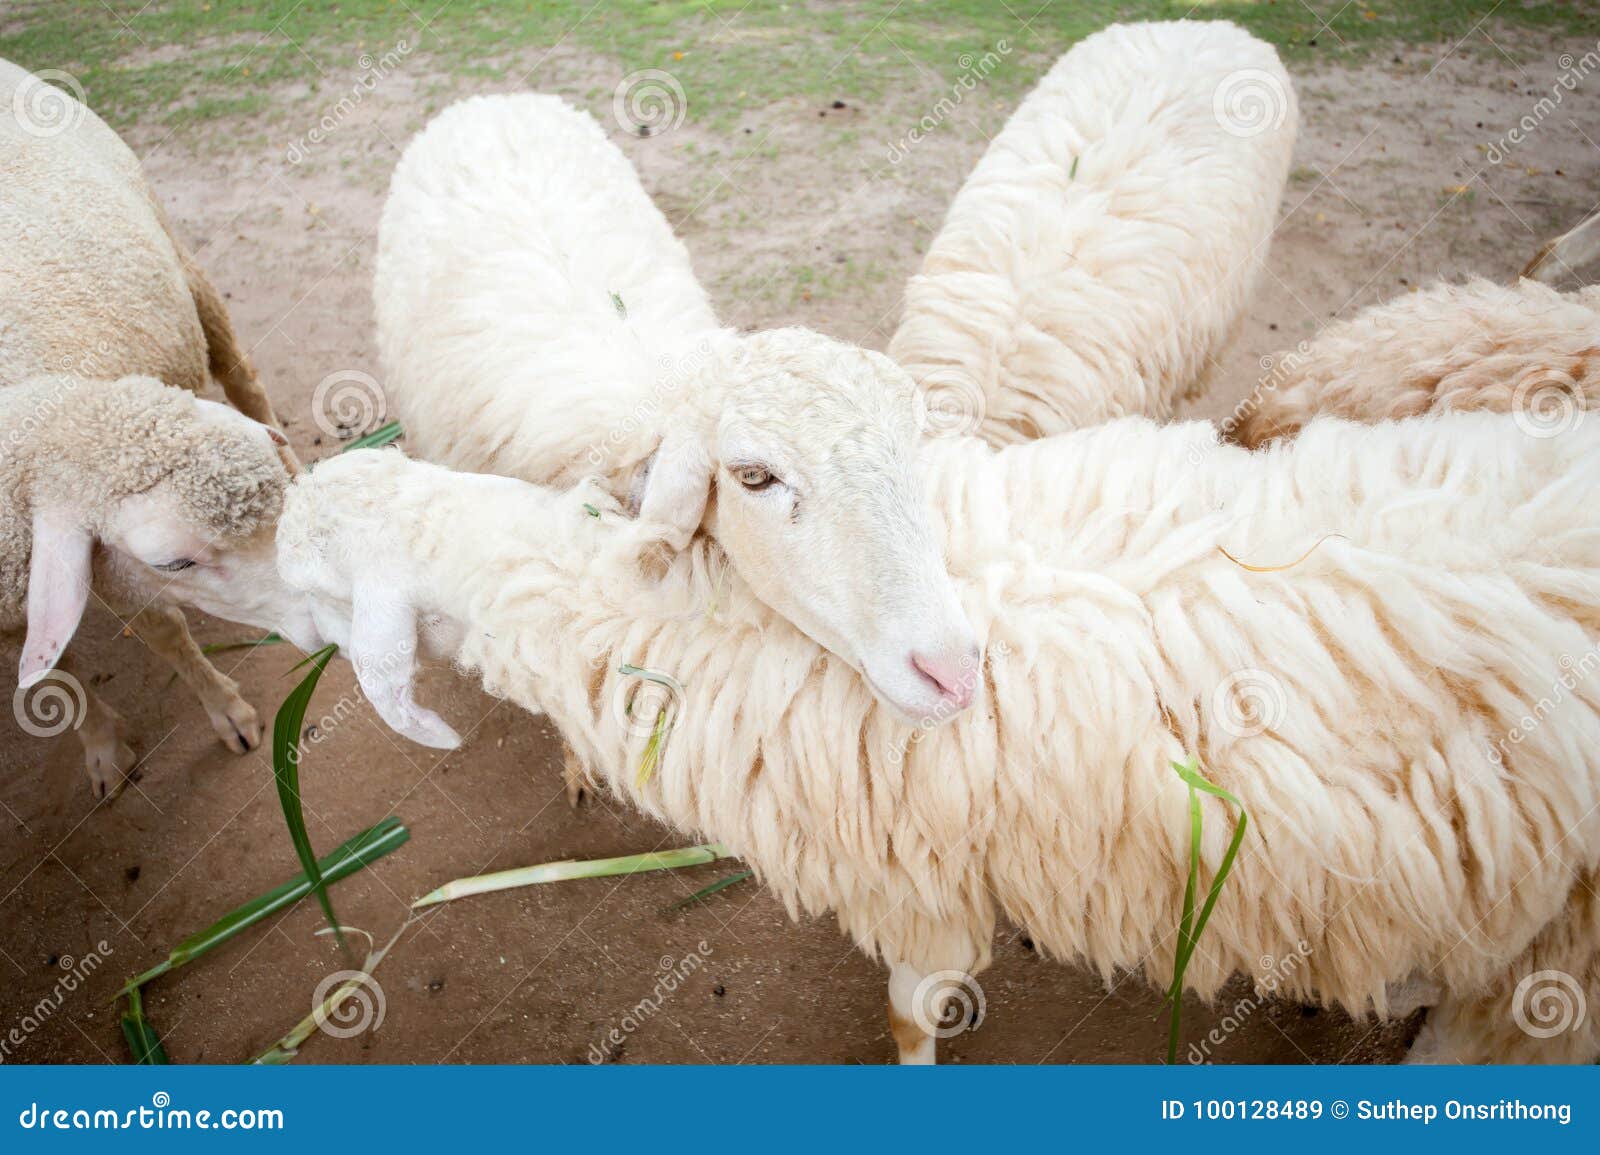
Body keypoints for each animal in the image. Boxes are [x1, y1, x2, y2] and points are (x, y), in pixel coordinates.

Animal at [1, 59, 313, 795]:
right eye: (174, 559)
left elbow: (162, 628)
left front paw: (226, 712)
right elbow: (48, 665)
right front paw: (98, 744)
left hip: (179, 254)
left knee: (242, 376)